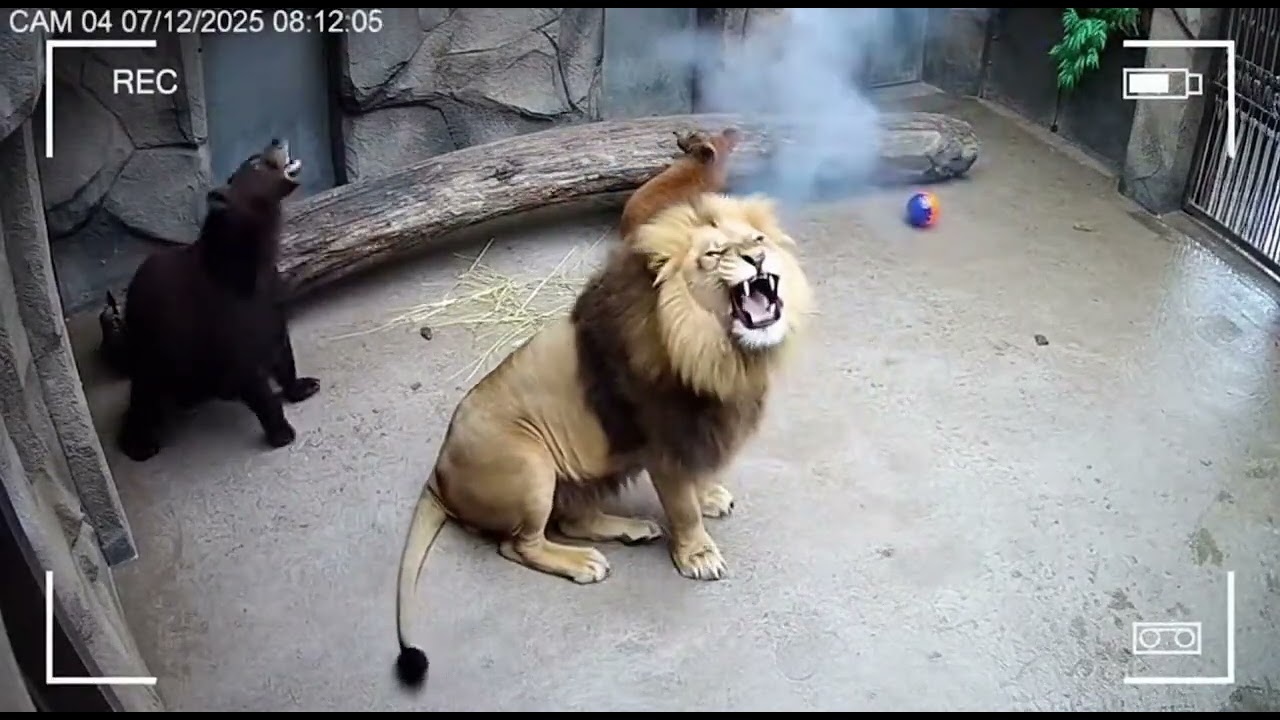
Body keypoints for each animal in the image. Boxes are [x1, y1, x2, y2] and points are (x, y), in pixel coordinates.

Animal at [114, 138, 320, 462]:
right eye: (254, 162)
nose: (276, 140)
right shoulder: (222, 314)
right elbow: (249, 371)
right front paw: (281, 431)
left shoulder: (268, 295)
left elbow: (280, 344)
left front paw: (304, 385)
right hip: (151, 340)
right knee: (146, 391)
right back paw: (140, 442)